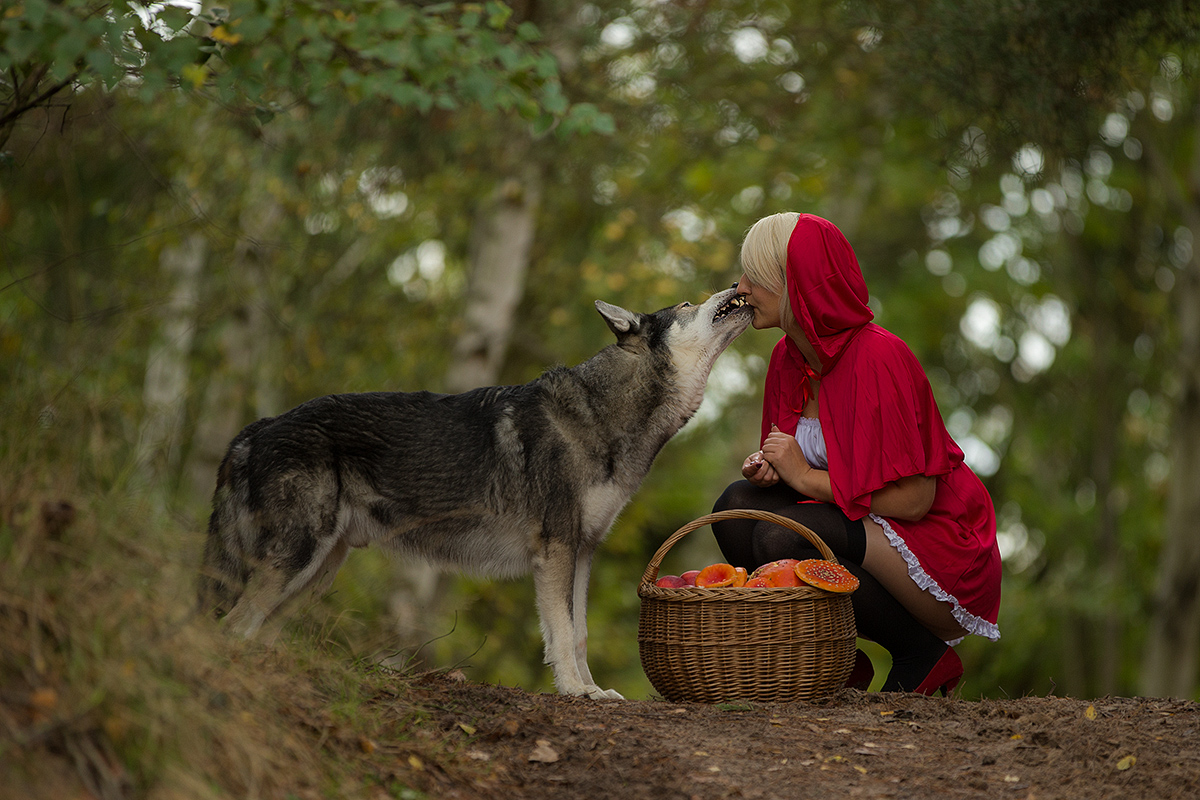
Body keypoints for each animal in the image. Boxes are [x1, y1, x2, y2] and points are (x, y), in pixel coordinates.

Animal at [196, 286, 748, 695]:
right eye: (686, 304)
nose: (736, 285)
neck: (602, 417)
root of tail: (255, 429)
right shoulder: (556, 550)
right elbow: (563, 635)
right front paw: (575, 692)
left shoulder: (583, 551)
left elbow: (580, 633)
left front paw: (595, 691)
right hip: (297, 561)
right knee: (232, 628)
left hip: (316, 572)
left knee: (255, 632)